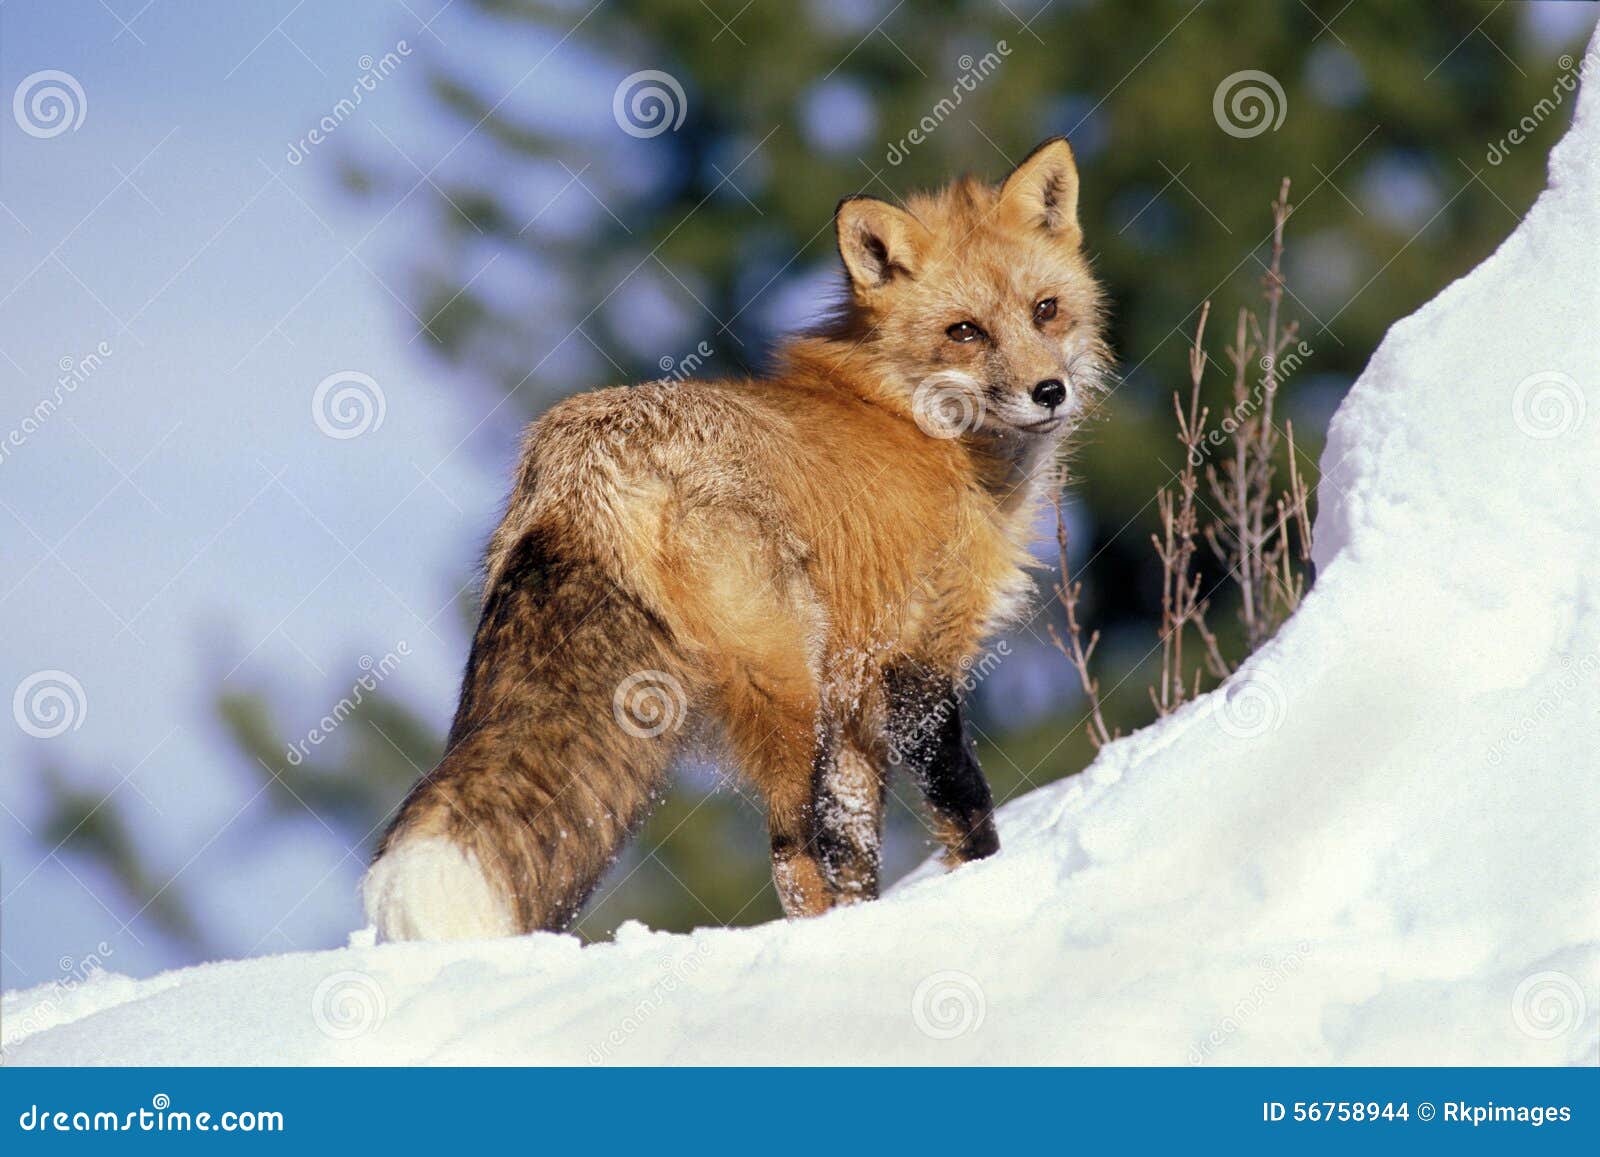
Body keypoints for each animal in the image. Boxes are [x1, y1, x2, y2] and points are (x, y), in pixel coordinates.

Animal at [362, 138, 1111, 940]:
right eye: (965, 331)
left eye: (1046, 310)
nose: (1049, 392)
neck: (912, 417)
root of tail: (578, 464)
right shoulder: (917, 658)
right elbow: (964, 806)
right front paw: (986, 886)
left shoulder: (856, 699)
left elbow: (856, 853)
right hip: (787, 688)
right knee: (787, 852)